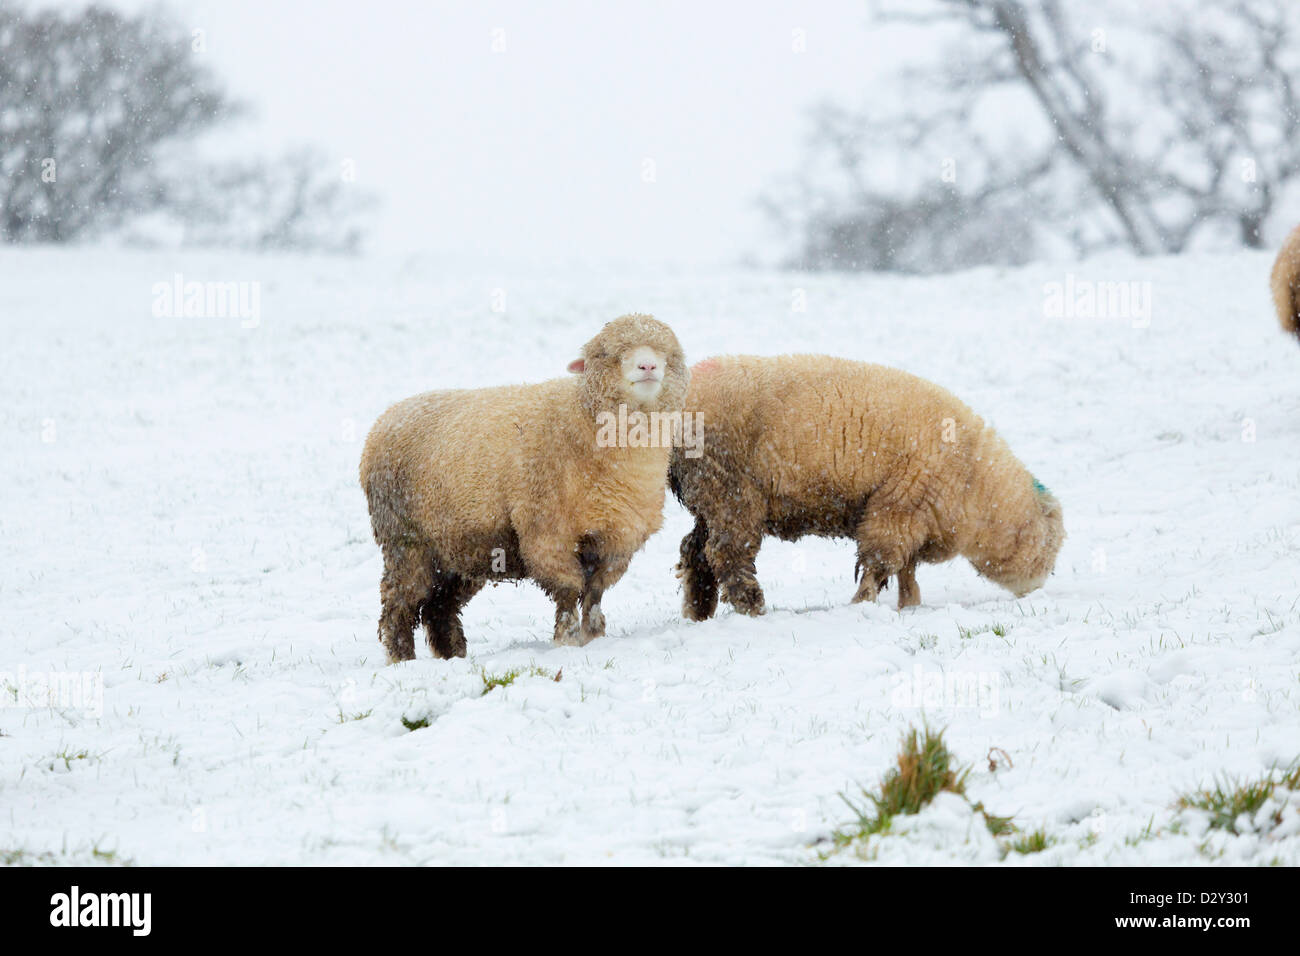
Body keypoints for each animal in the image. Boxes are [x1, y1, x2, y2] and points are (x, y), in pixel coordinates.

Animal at [360, 314, 689, 663]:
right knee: (399, 601)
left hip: (459, 546)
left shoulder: (617, 539)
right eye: (608, 354)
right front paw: (567, 639)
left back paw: (452, 655)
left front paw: (594, 636)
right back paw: (401, 657)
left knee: (439, 605)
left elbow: (595, 593)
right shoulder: (546, 533)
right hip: (405, 540)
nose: (648, 366)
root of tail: (383, 421)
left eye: (668, 353)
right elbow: (569, 591)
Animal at [669, 355, 1064, 618]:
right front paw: (864, 604)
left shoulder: (915, 517)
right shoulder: (897, 506)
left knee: (694, 550)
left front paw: (910, 605)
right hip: (731, 490)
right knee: (727, 554)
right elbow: (880, 562)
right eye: (1051, 546)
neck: (976, 480)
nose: (1039, 588)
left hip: (710, 494)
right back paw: (751, 606)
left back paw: (698, 610)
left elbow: (906, 569)